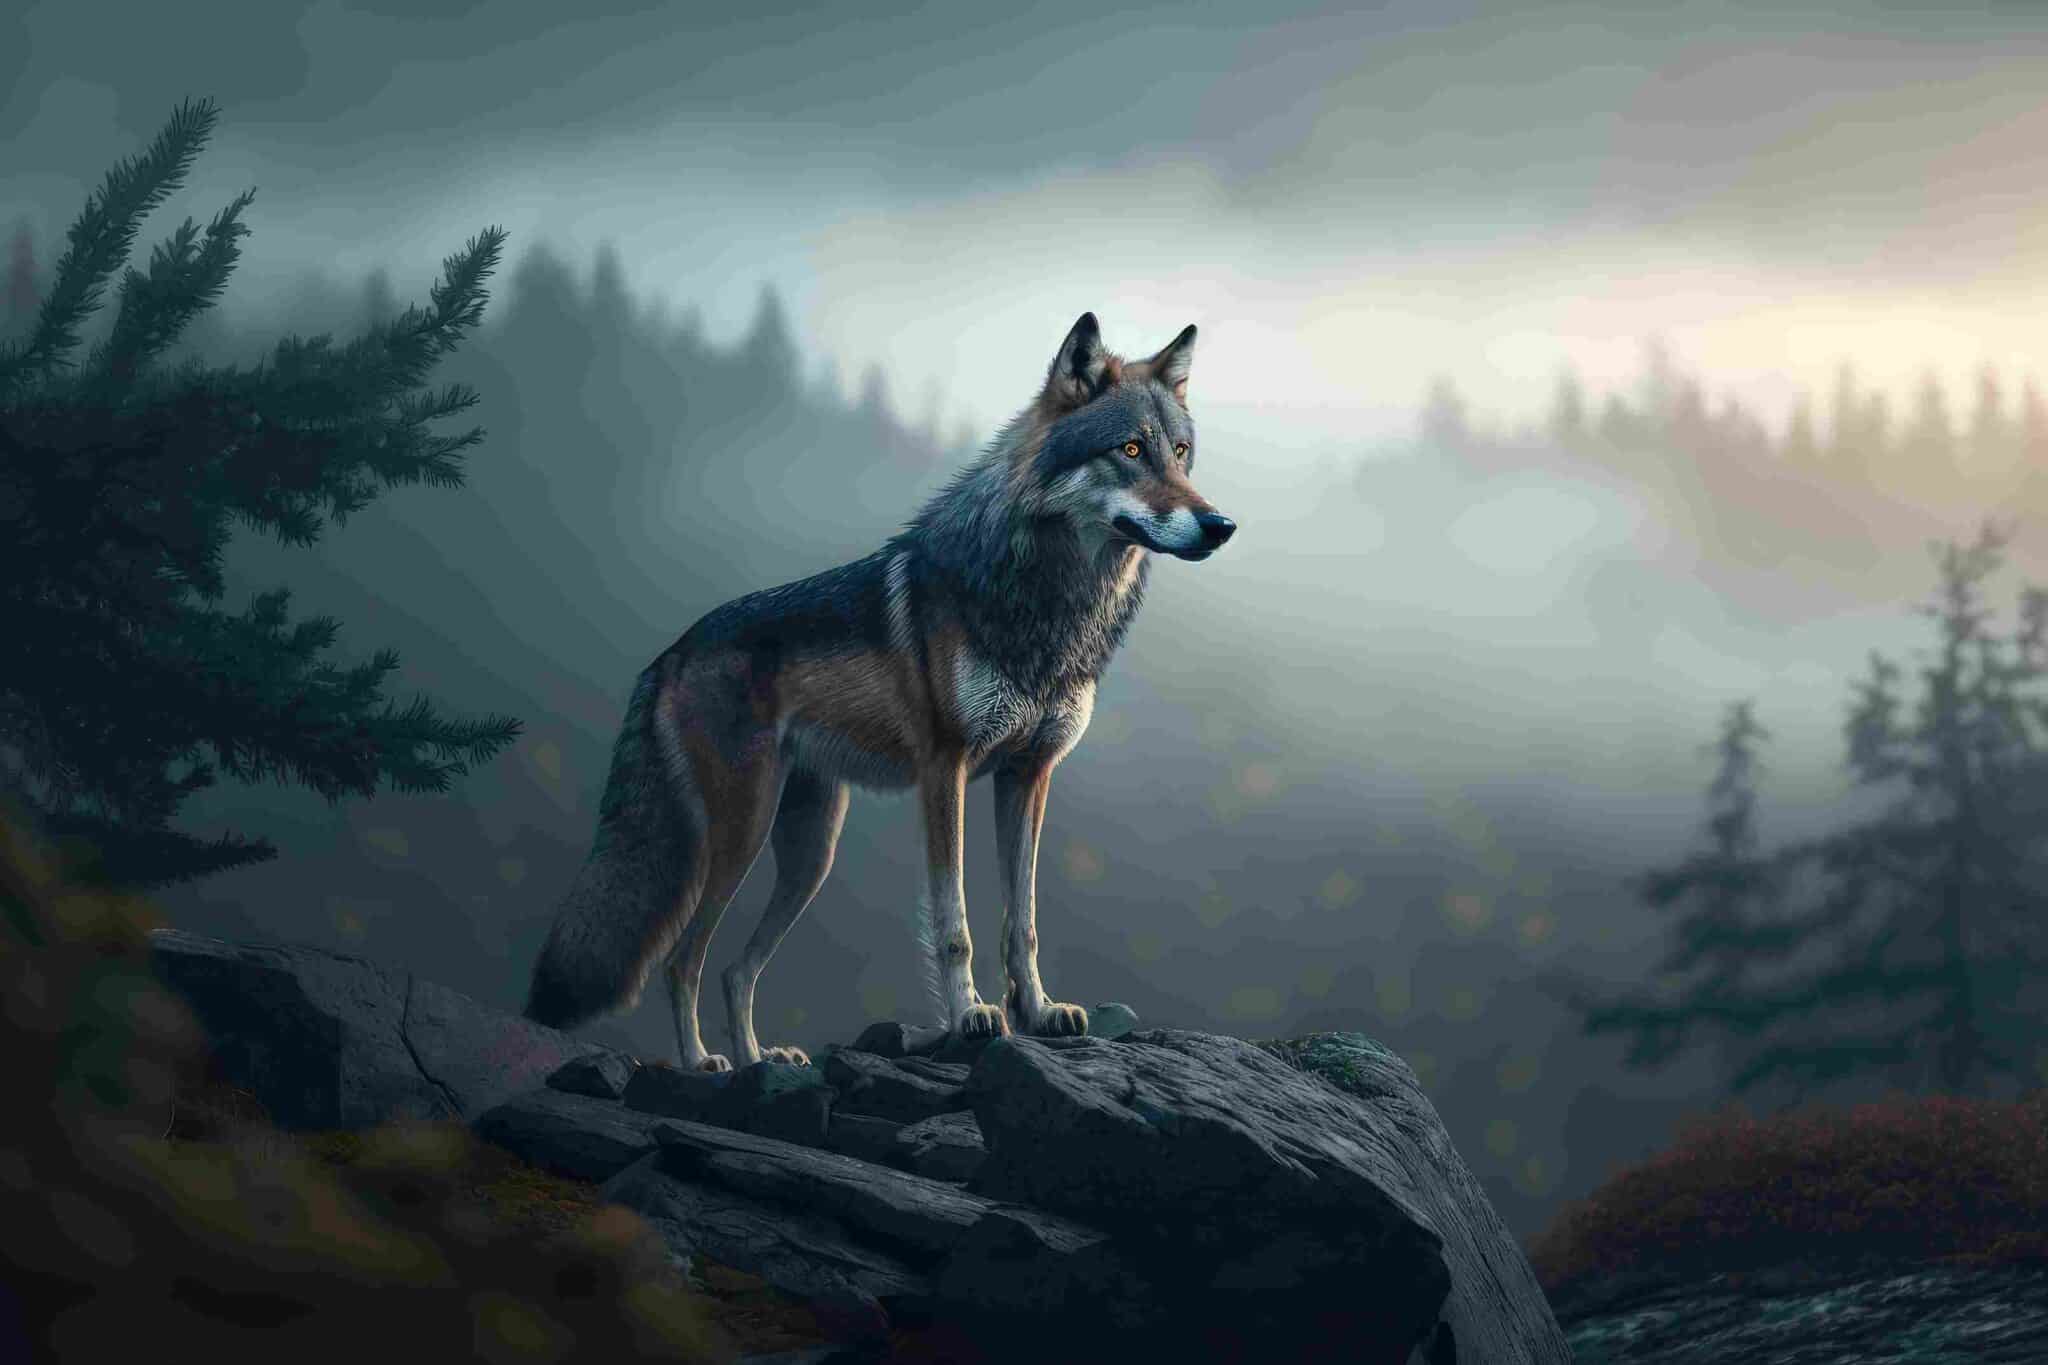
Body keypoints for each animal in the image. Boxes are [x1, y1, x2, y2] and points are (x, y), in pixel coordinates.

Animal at [522, 312, 1236, 1070]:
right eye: (1130, 449)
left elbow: (1024, 920)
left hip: (810, 855)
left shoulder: (1028, 775)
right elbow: (955, 925)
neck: (1052, 608)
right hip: (739, 836)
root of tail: (668, 653)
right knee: (682, 960)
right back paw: (702, 1064)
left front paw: (1040, 1011)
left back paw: (760, 1058)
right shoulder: (945, 770)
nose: (1220, 526)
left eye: (1181, 455)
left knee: (735, 969)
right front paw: (972, 1016)